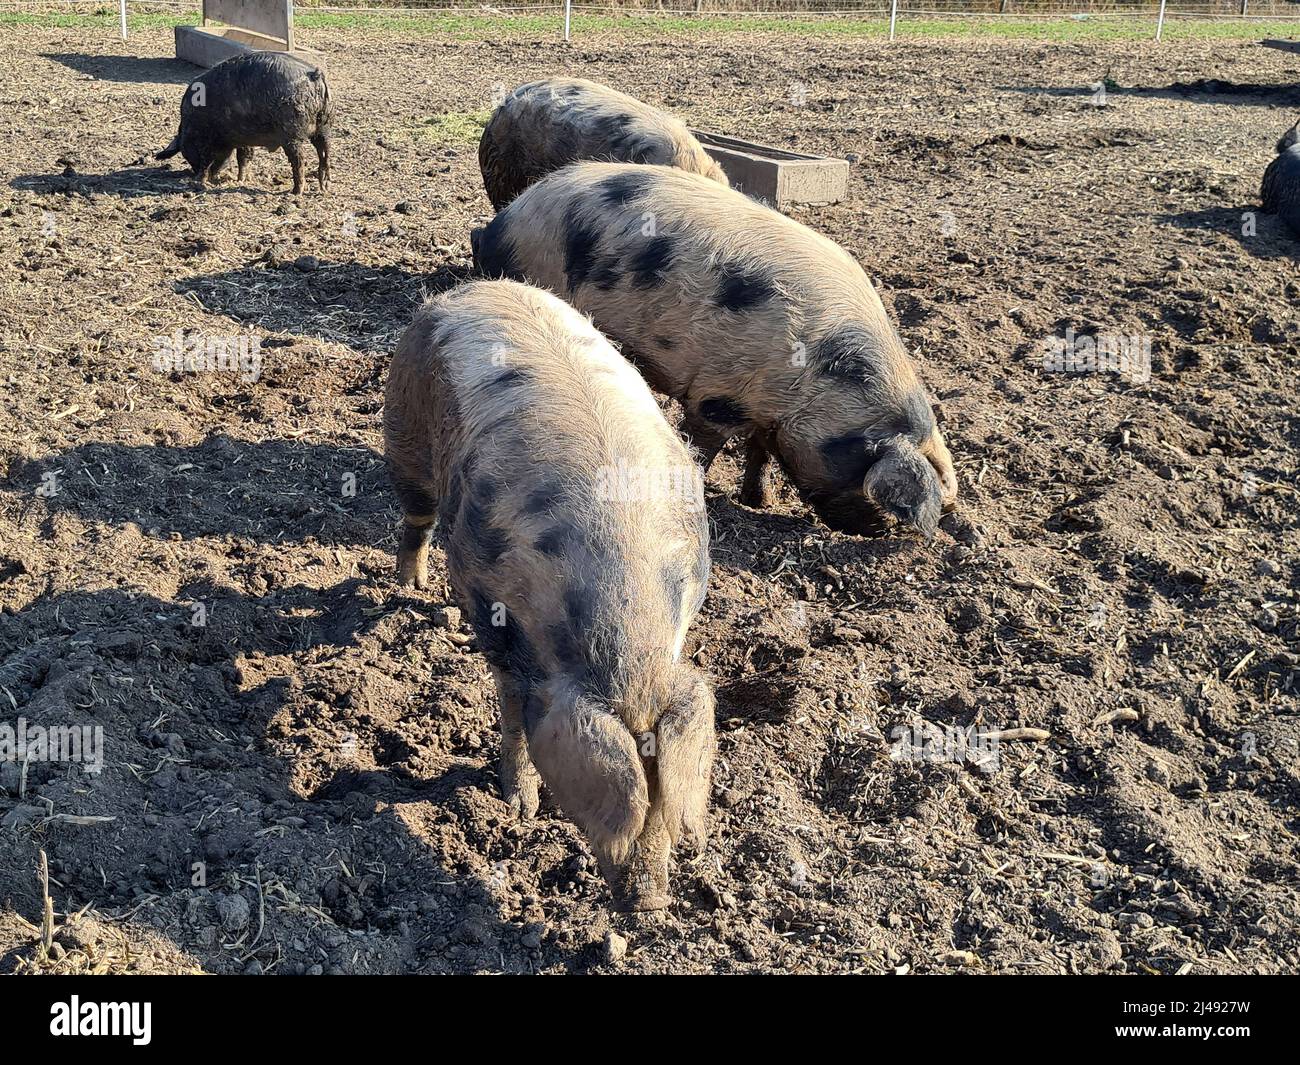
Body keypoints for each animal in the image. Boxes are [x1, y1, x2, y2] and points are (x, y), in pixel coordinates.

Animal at [156, 51, 332, 195]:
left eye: (185, 153)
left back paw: (296, 191)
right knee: (324, 152)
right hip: (324, 126)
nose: (193, 173)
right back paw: (323, 187)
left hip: (291, 132)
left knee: (299, 159)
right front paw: (240, 180)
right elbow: (244, 156)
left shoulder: (207, 139)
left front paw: (199, 181)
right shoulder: (242, 138)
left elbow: (207, 159)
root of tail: (314, 75)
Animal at [384, 279, 715, 911]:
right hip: (404, 432)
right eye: (624, 811)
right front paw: (520, 808)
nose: (652, 904)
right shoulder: (493, 618)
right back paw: (410, 587)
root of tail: (471, 289)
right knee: (415, 519)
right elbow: (514, 711)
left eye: (664, 806)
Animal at [471, 162, 958, 539]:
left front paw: (758, 501)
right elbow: (705, 446)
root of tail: (504, 221)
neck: (823, 380)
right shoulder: (716, 397)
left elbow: (760, 451)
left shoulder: (764, 411)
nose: (874, 532)